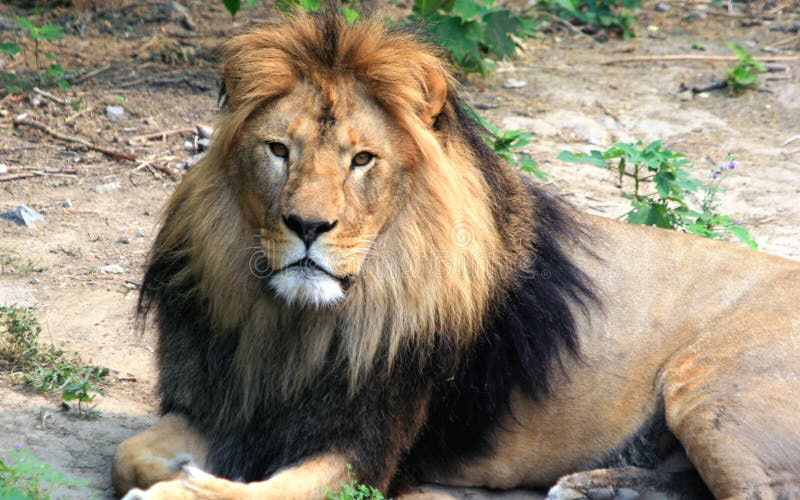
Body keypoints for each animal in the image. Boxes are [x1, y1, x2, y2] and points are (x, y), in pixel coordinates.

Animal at [112, 11, 800, 500]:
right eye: (279, 150)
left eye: (362, 160)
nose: (308, 226)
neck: (292, 327)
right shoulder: (224, 404)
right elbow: (129, 457)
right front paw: (177, 468)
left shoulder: (362, 454)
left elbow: (253, 494)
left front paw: (184, 489)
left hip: (711, 395)